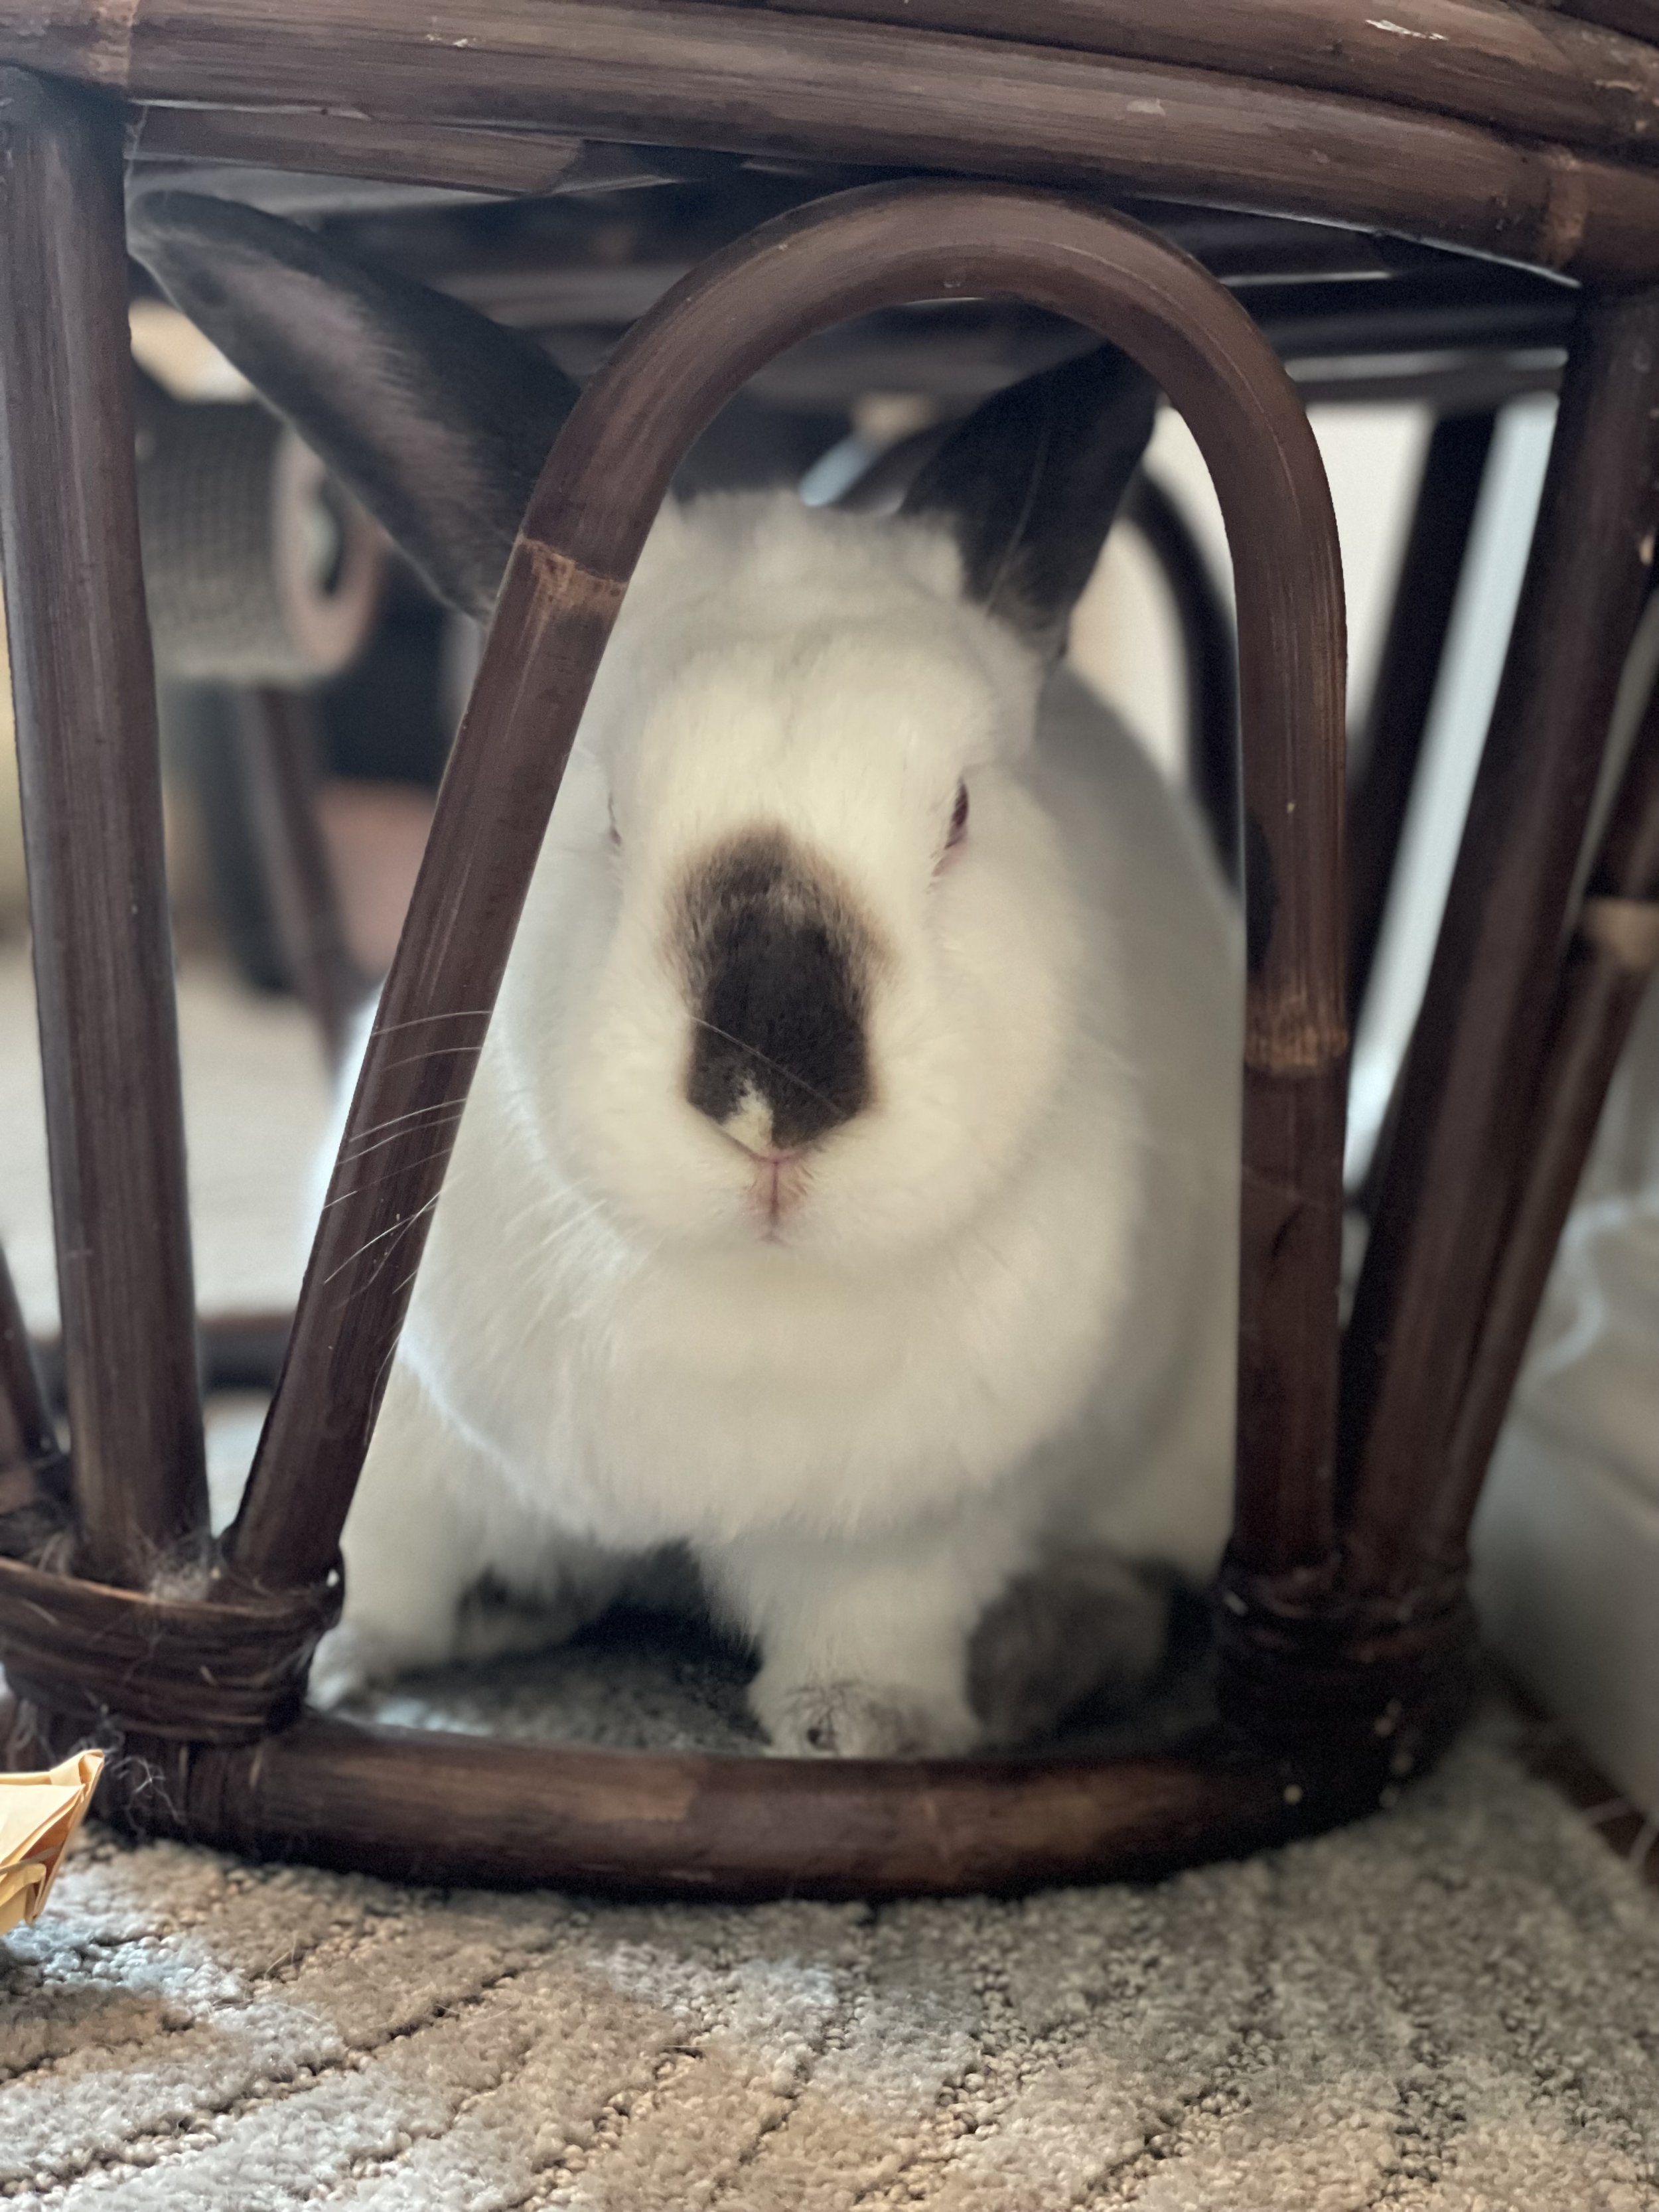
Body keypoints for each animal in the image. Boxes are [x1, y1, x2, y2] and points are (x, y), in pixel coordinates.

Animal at [132, 193, 1242, 1757]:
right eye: (590, 803)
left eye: (960, 812)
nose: (772, 1097)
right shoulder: (407, 1449)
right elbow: (393, 1566)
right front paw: (348, 1669)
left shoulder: (919, 1532)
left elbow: (874, 1628)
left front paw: (858, 1732)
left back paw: (1045, 1661)